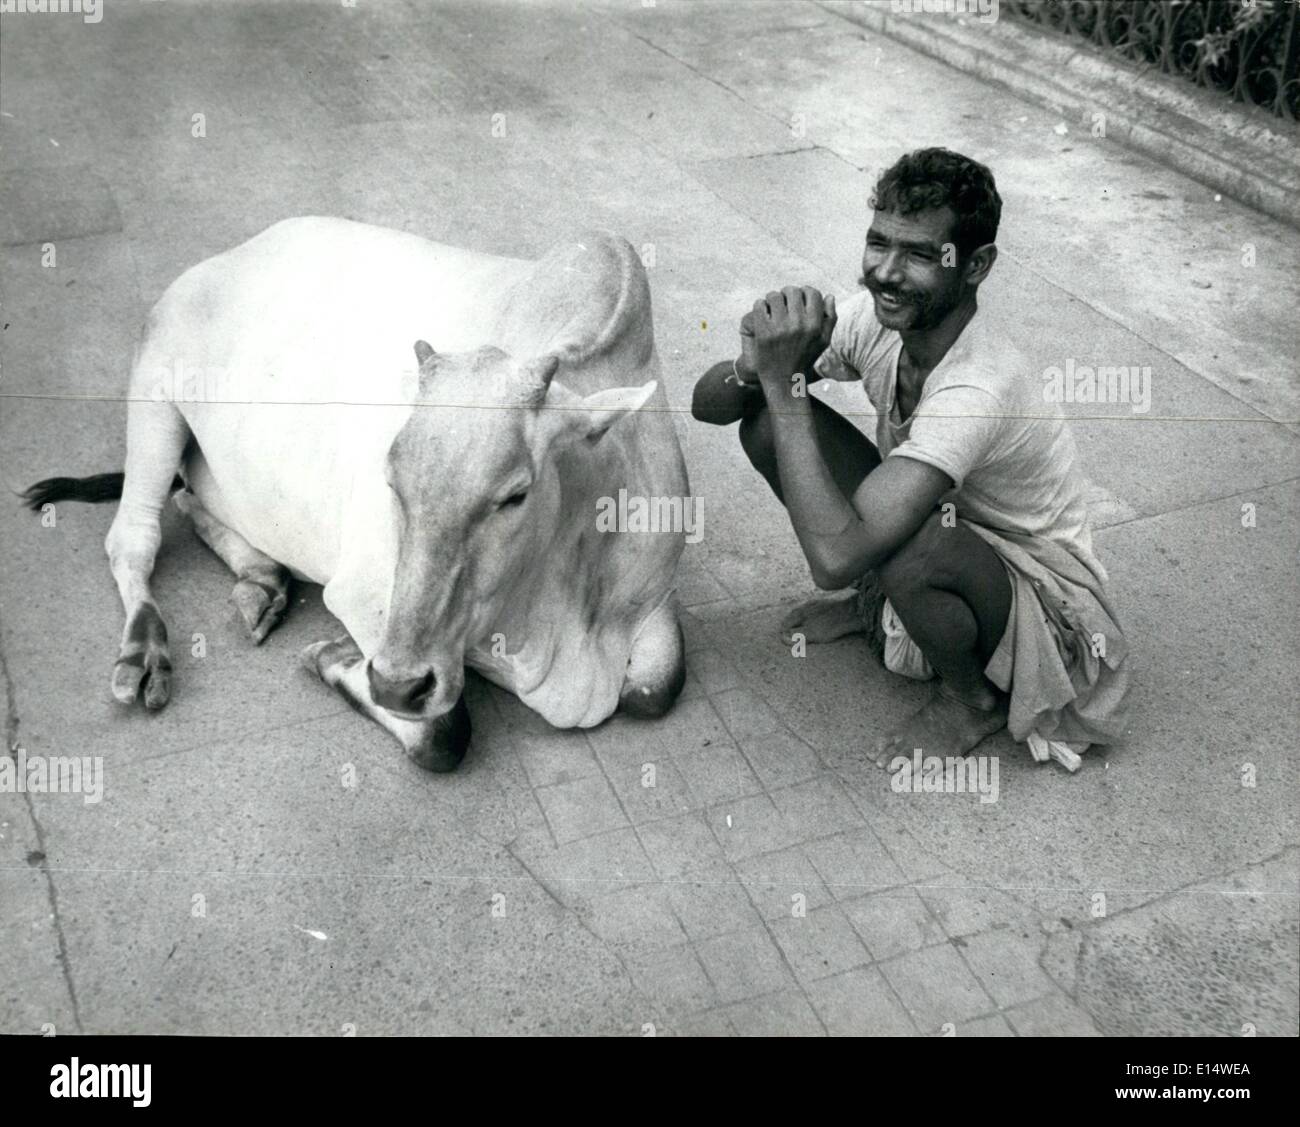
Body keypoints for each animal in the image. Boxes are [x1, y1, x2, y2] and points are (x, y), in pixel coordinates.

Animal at [24, 217, 690, 772]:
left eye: (515, 495)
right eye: (391, 482)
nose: (397, 684)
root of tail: (231, 256)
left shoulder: (651, 599)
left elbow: (656, 689)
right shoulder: (366, 599)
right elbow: (443, 735)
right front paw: (333, 658)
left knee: (190, 503)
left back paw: (261, 580)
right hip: (155, 392)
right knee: (134, 536)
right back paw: (145, 650)